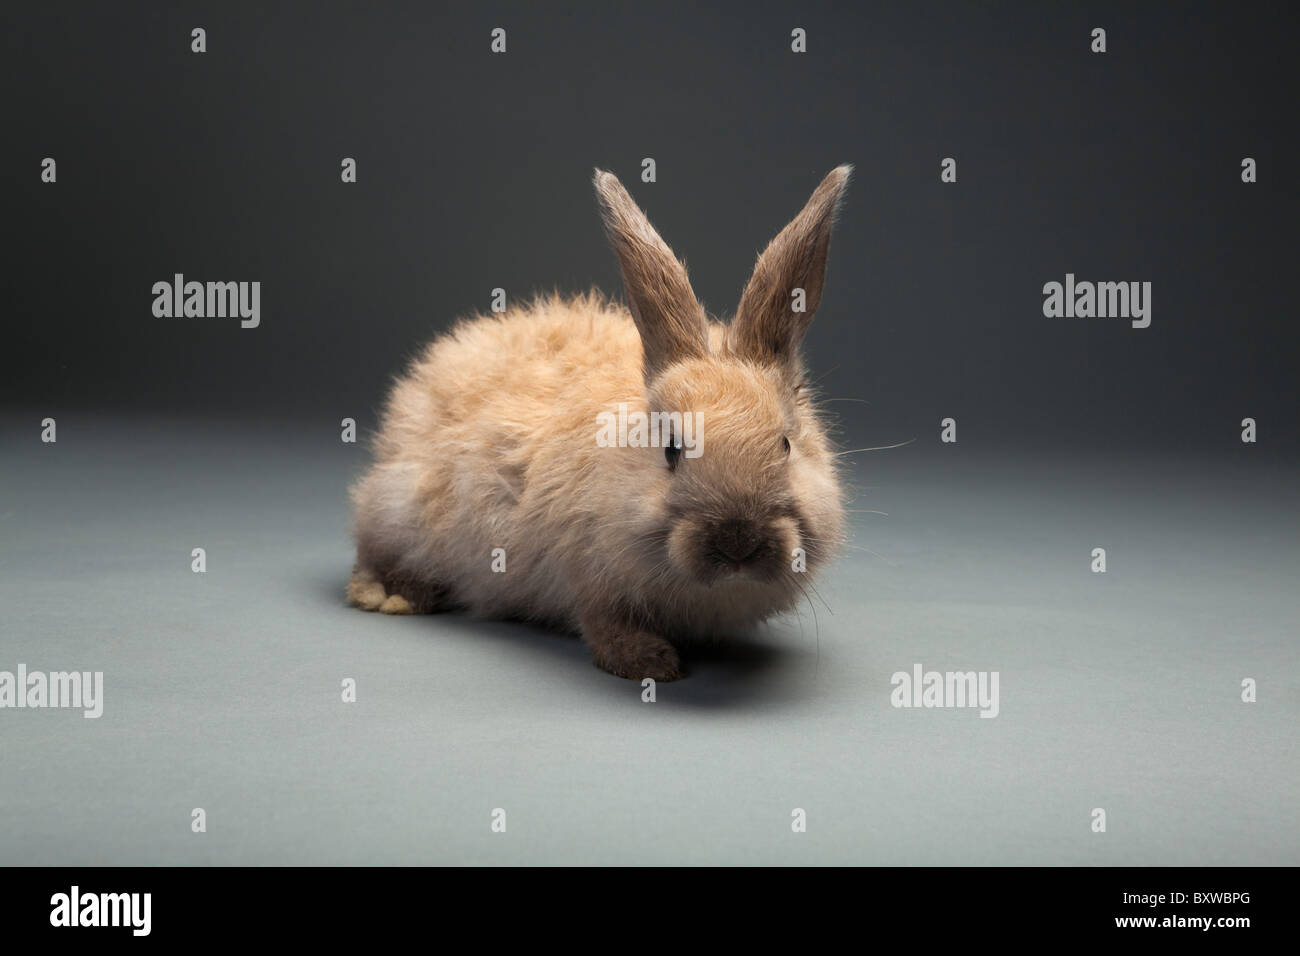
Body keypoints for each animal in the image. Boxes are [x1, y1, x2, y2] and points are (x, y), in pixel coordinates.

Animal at [348, 165, 851, 681]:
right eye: (671, 449)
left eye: (786, 445)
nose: (738, 540)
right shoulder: (587, 581)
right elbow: (604, 626)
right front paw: (650, 664)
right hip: (396, 508)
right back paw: (391, 595)